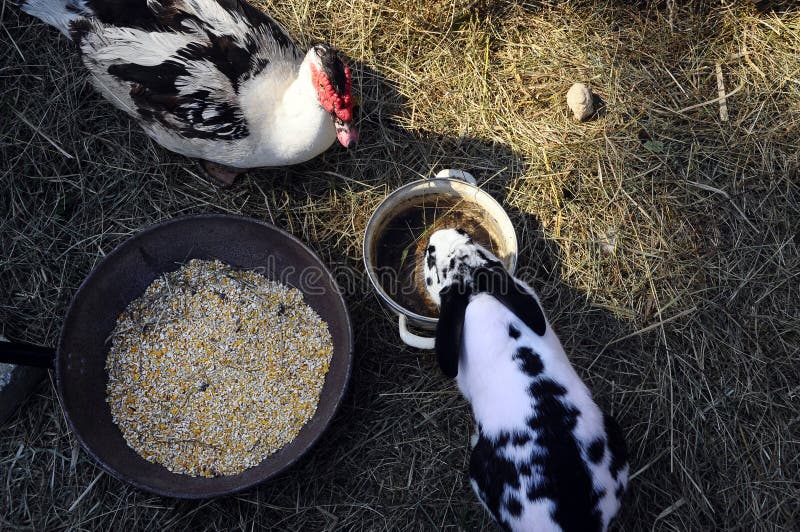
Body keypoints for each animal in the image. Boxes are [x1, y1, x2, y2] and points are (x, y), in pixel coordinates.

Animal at [423, 228, 628, 532]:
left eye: (432, 260)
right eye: (467, 236)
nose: (437, 236)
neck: (479, 292)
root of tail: (581, 519)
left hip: (480, 473)